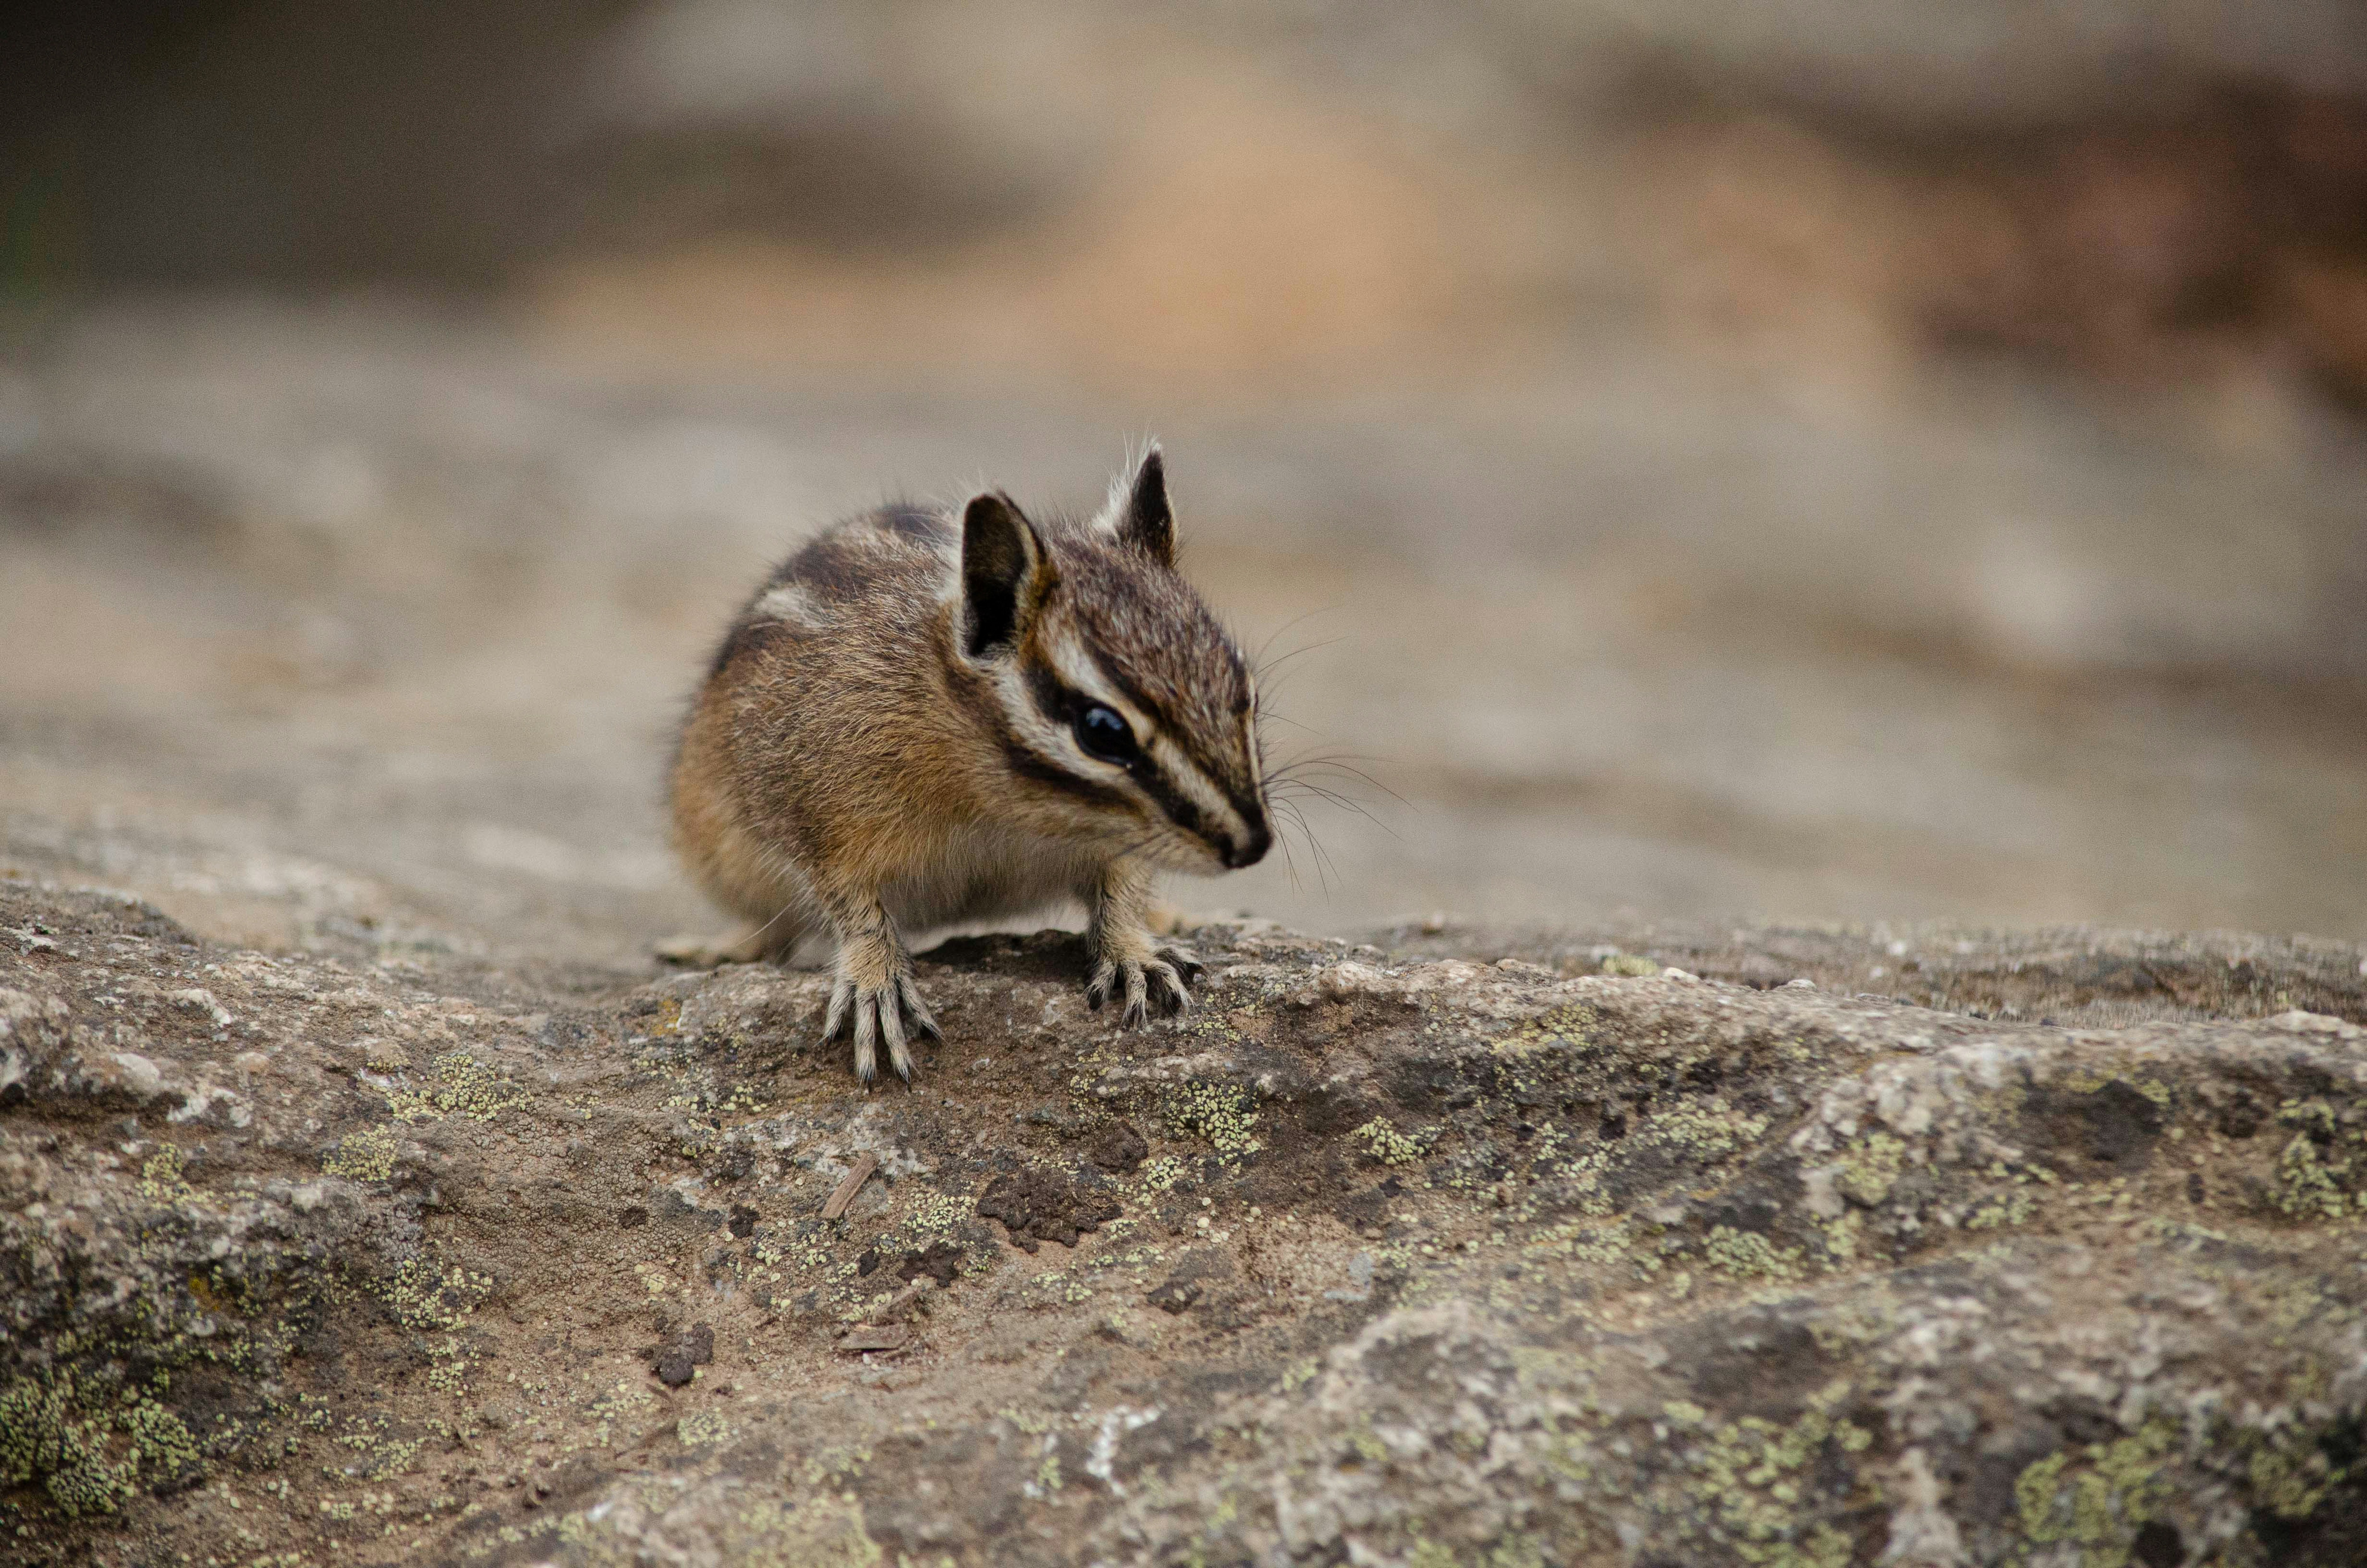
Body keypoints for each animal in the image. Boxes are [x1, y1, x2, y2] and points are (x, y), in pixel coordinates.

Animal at [667, 447, 1273, 1083]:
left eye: (1244, 689)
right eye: (1102, 730)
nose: (1253, 844)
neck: (1009, 804)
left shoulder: (1118, 847)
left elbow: (1122, 891)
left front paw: (1137, 951)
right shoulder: (812, 818)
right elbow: (852, 908)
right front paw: (875, 983)